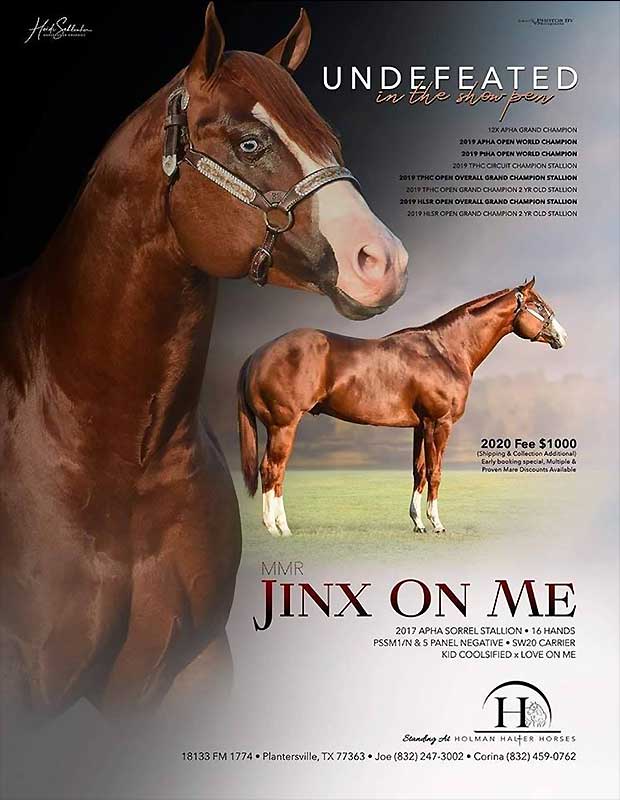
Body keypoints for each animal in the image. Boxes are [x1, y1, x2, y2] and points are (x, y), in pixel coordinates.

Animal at [237, 278, 567, 535]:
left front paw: (418, 523)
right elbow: (435, 472)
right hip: (283, 425)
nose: (562, 336)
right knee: (272, 469)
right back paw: (277, 528)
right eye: (538, 305)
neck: (445, 351)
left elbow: (419, 472)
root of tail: (259, 353)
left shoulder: (420, 426)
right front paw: (436, 523)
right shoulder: (439, 423)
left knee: (275, 471)